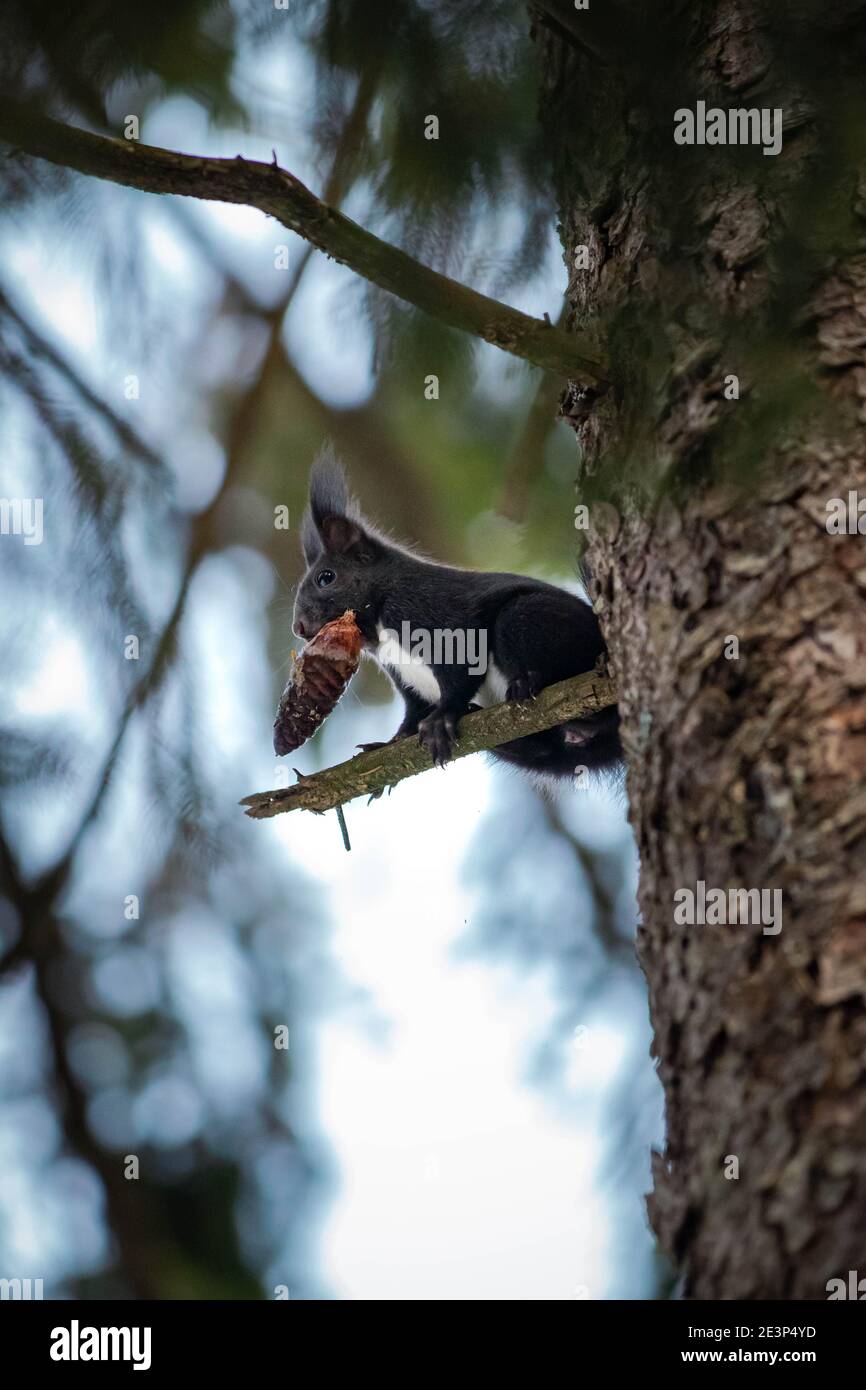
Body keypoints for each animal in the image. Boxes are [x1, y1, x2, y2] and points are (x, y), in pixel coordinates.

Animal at [292, 448, 621, 779]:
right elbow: (413, 711)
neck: (377, 625)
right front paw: (389, 742)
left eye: (326, 578)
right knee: (545, 750)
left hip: (528, 619)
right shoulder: (403, 677)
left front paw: (443, 716)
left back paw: (528, 682)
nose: (299, 628)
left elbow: (460, 666)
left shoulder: (426, 611)